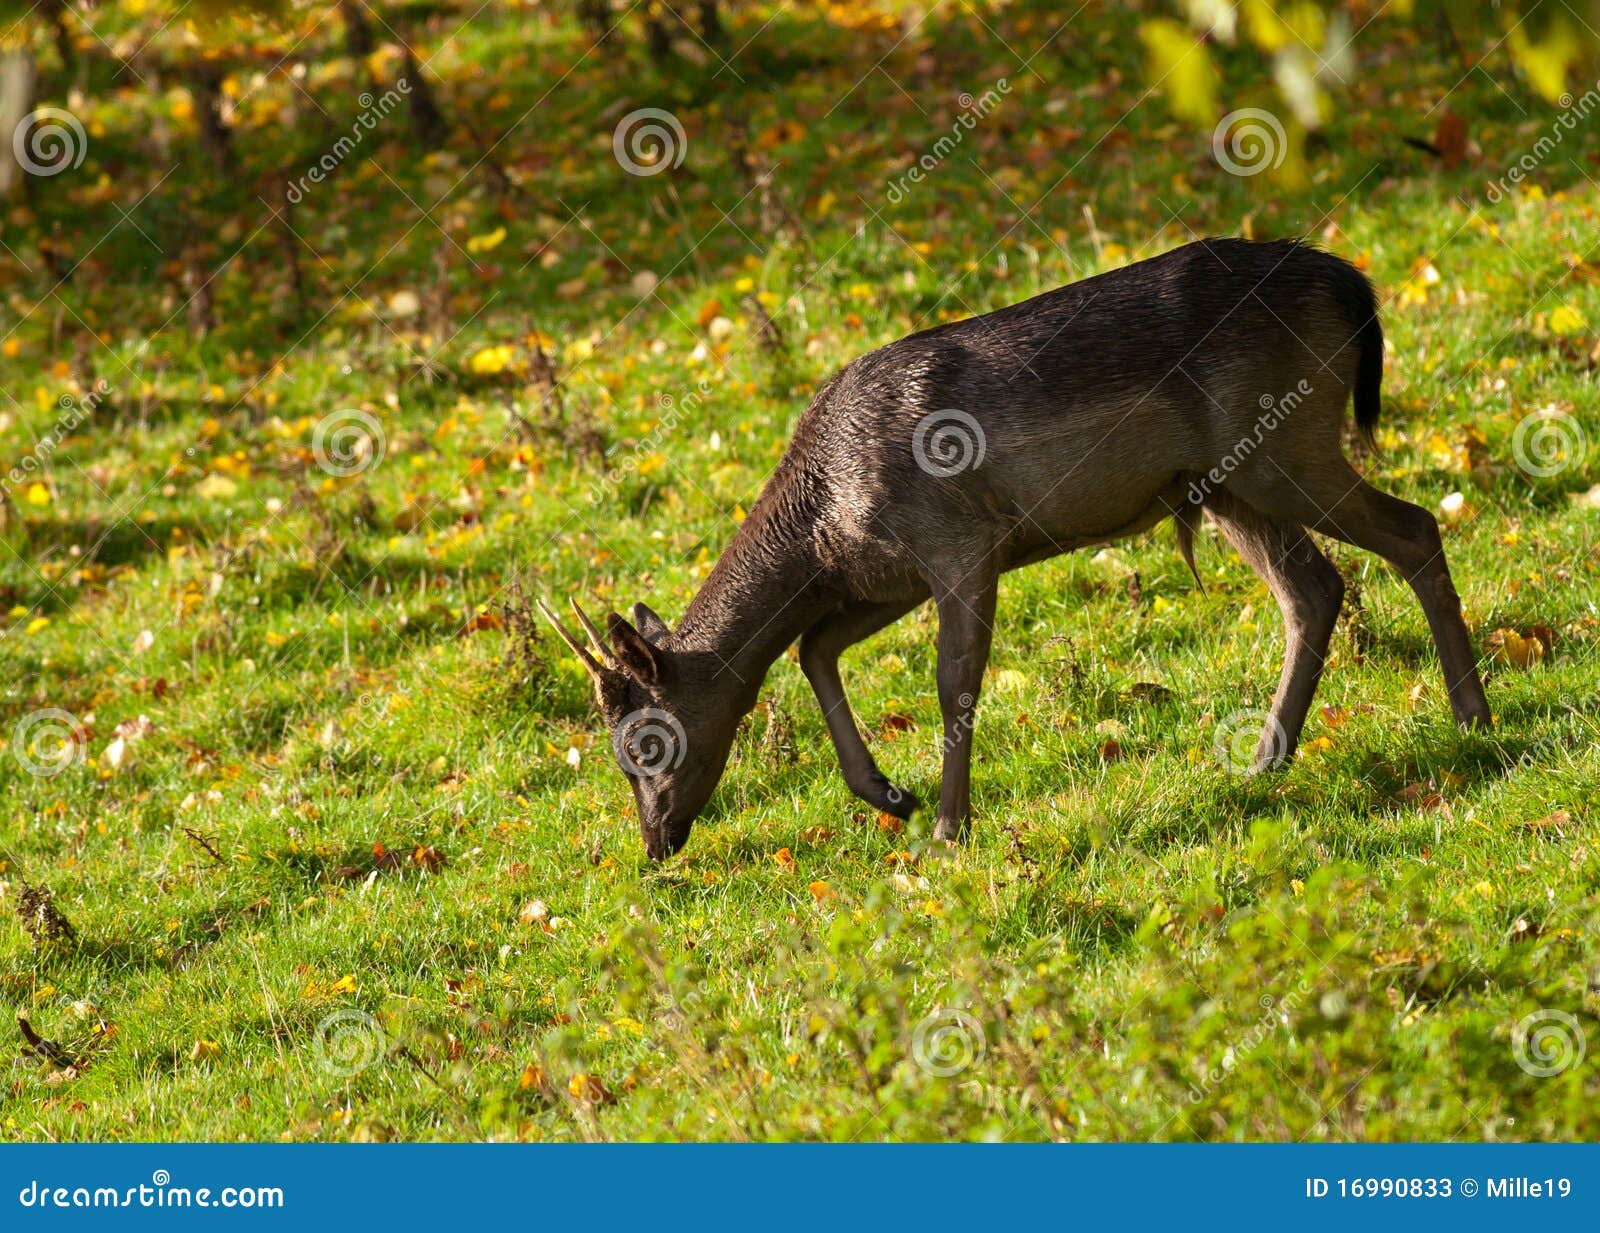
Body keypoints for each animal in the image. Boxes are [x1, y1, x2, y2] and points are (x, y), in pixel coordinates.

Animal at [539, 238, 1492, 860]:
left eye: (644, 744)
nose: (654, 840)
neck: (825, 521)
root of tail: (1355, 286)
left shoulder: (960, 539)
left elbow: (951, 681)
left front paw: (947, 826)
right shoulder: (888, 575)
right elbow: (811, 645)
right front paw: (889, 794)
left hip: (1285, 444)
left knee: (1413, 527)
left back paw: (1471, 716)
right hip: (1227, 484)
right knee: (1314, 588)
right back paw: (1267, 758)